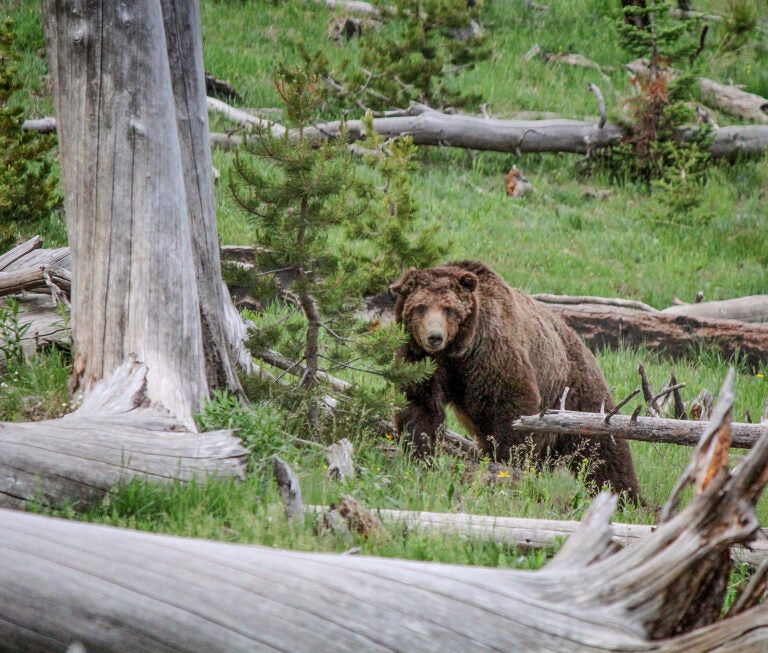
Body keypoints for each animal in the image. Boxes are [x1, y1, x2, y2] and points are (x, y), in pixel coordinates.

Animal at [390, 260, 641, 503]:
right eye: (420, 307)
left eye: (449, 309)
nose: (435, 337)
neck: (457, 353)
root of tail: (581, 343)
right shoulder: (423, 362)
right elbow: (419, 406)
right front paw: (421, 454)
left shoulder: (491, 354)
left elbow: (509, 408)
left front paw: (508, 464)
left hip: (573, 392)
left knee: (602, 449)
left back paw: (627, 496)